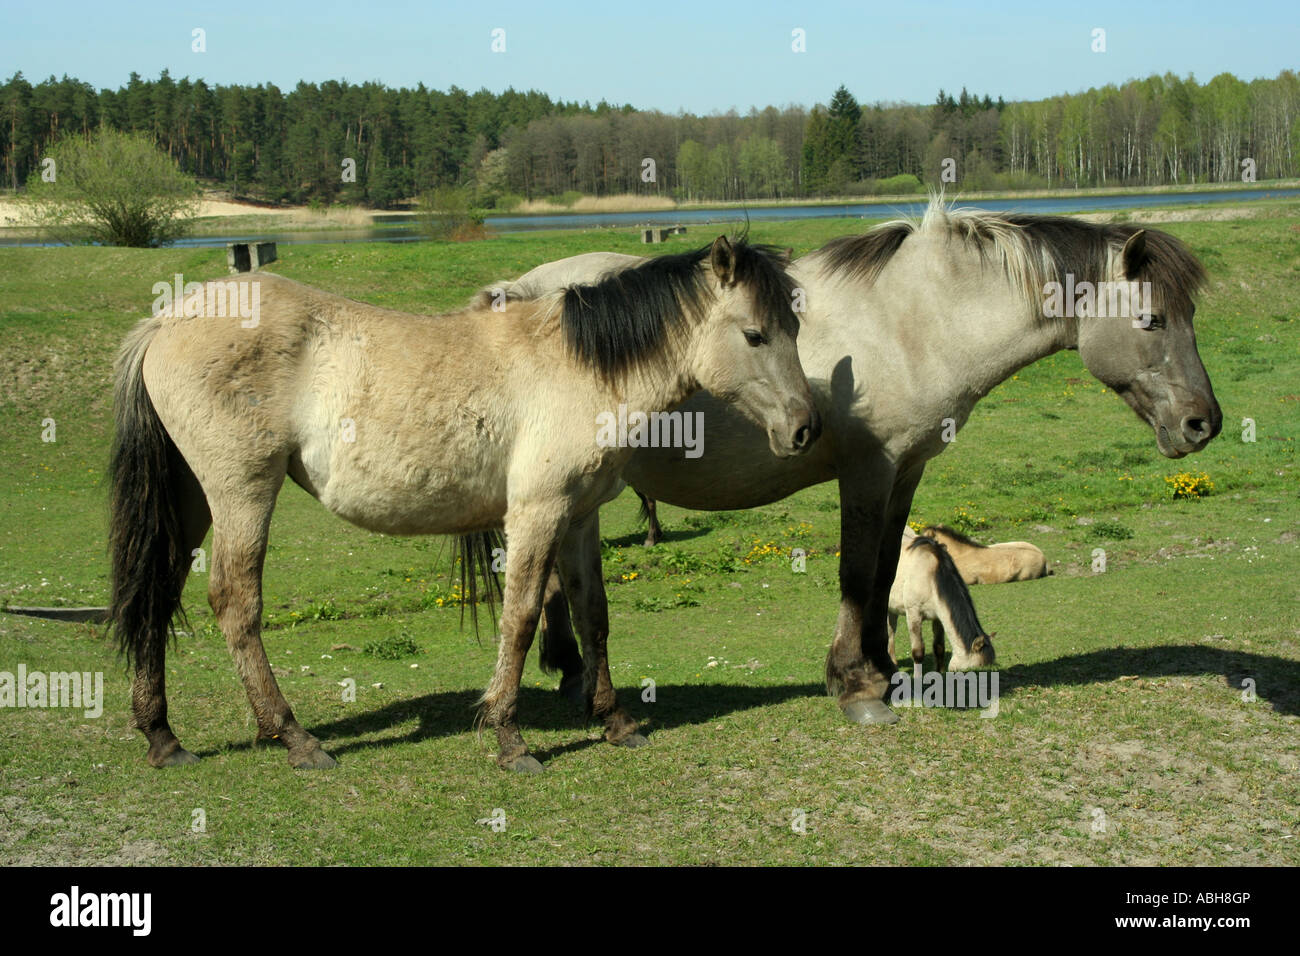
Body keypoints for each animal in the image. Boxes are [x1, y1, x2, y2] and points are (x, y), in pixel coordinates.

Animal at [106, 236, 819, 774]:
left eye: (793, 327)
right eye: (754, 335)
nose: (804, 429)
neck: (581, 367)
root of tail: (164, 321)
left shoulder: (579, 516)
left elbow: (593, 614)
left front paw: (615, 720)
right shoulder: (536, 512)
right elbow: (522, 617)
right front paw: (509, 738)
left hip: (193, 497)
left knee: (159, 591)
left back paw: (164, 736)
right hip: (243, 491)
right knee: (235, 603)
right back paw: (293, 737)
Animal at [888, 530, 995, 678]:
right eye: (973, 671)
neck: (930, 577)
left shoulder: (938, 617)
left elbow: (939, 647)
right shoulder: (913, 614)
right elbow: (918, 651)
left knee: (891, 633)